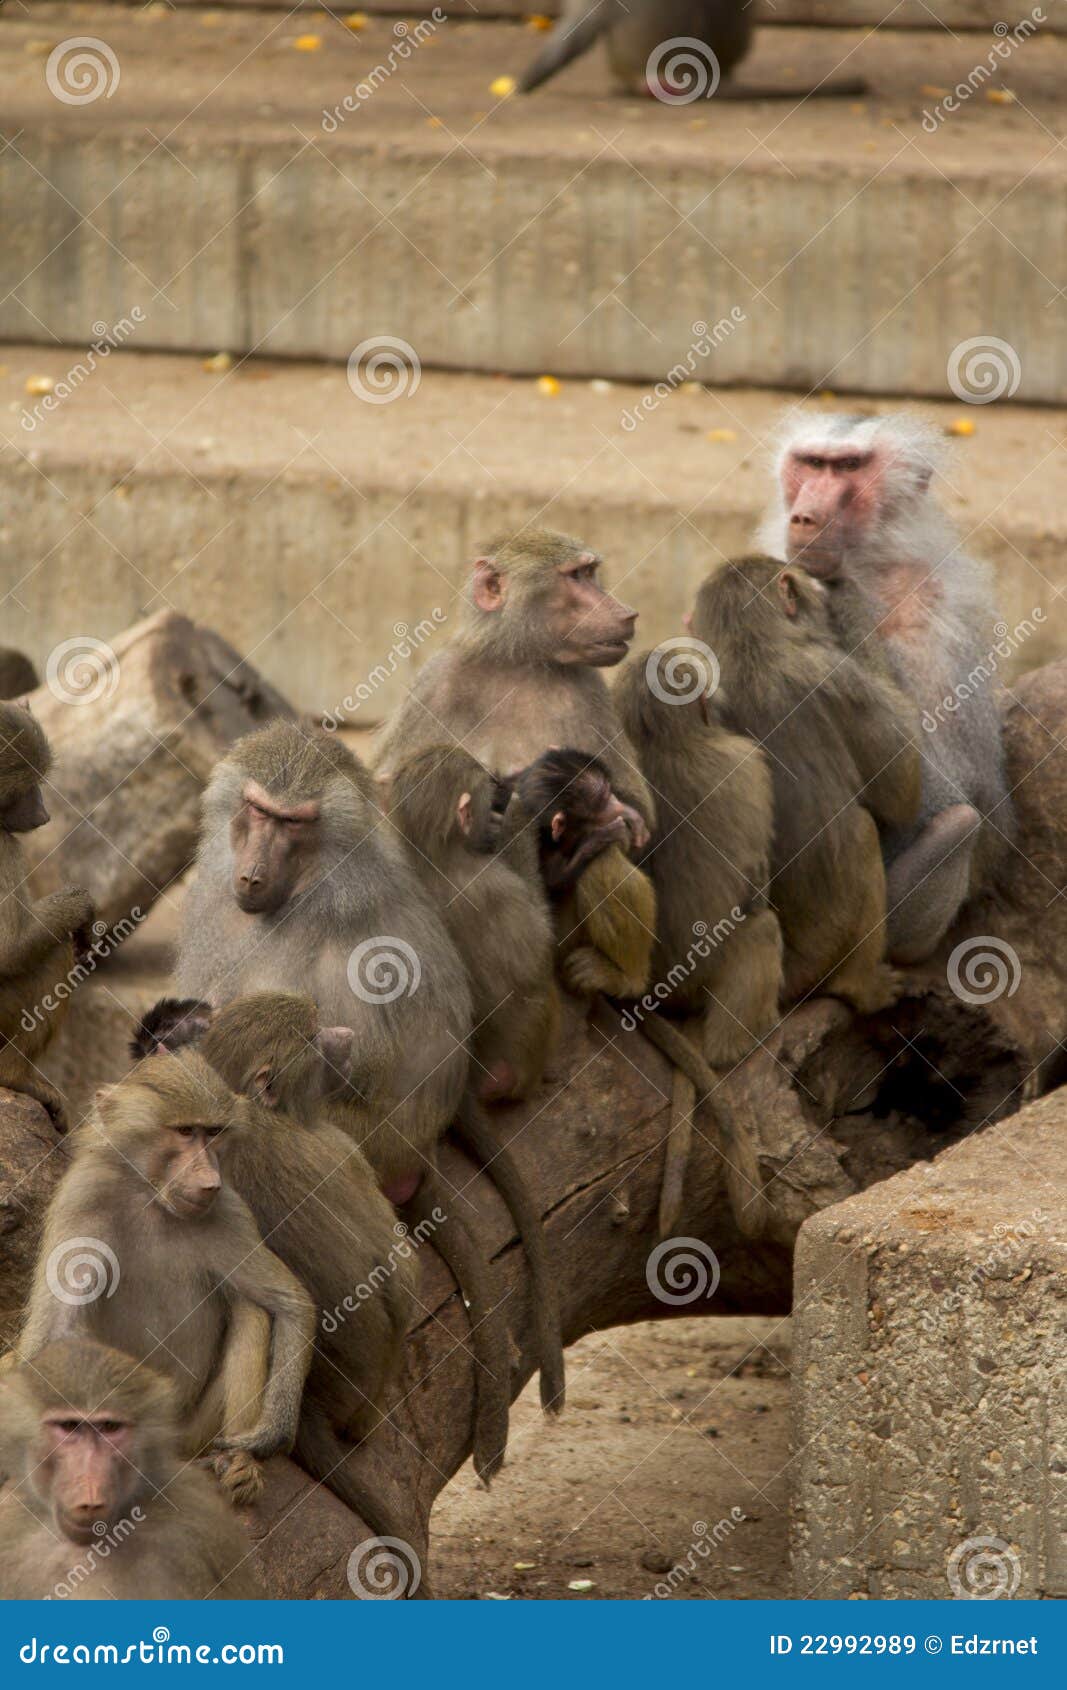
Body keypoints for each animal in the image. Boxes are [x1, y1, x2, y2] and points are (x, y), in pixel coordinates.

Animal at [13, 1050, 316, 1509]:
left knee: (252, 1309)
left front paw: (269, 1436)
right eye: (185, 1131)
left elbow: (290, 1303)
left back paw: (238, 1469)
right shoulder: (84, 1197)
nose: (208, 1179)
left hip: (191, 1433)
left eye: (212, 1133)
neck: (152, 1198)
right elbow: (55, 1333)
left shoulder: (230, 1212)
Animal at [174, 723, 512, 1485]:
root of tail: (419, 1157)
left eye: (295, 825)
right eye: (257, 811)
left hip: (376, 1151)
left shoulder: (363, 938)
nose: (249, 877)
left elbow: (353, 1070)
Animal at [385, 746, 565, 1415]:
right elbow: (537, 955)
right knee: (539, 996)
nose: (499, 807)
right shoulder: (495, 891)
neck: (430, 854)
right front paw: (523, 821)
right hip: (523, 1061)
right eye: (486, 794)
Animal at [690, 556, 922, 1013]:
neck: (748, 642)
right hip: (825, 943)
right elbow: (904, 784)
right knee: (862, 833)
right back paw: (859, 986)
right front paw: (852, 604)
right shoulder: (838, 672)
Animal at [758, 410, 1012, 963]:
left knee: (958, 825)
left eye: (849, 468)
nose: (806, 518)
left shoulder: (925, 606)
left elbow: (924, 781)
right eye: (812, 463)